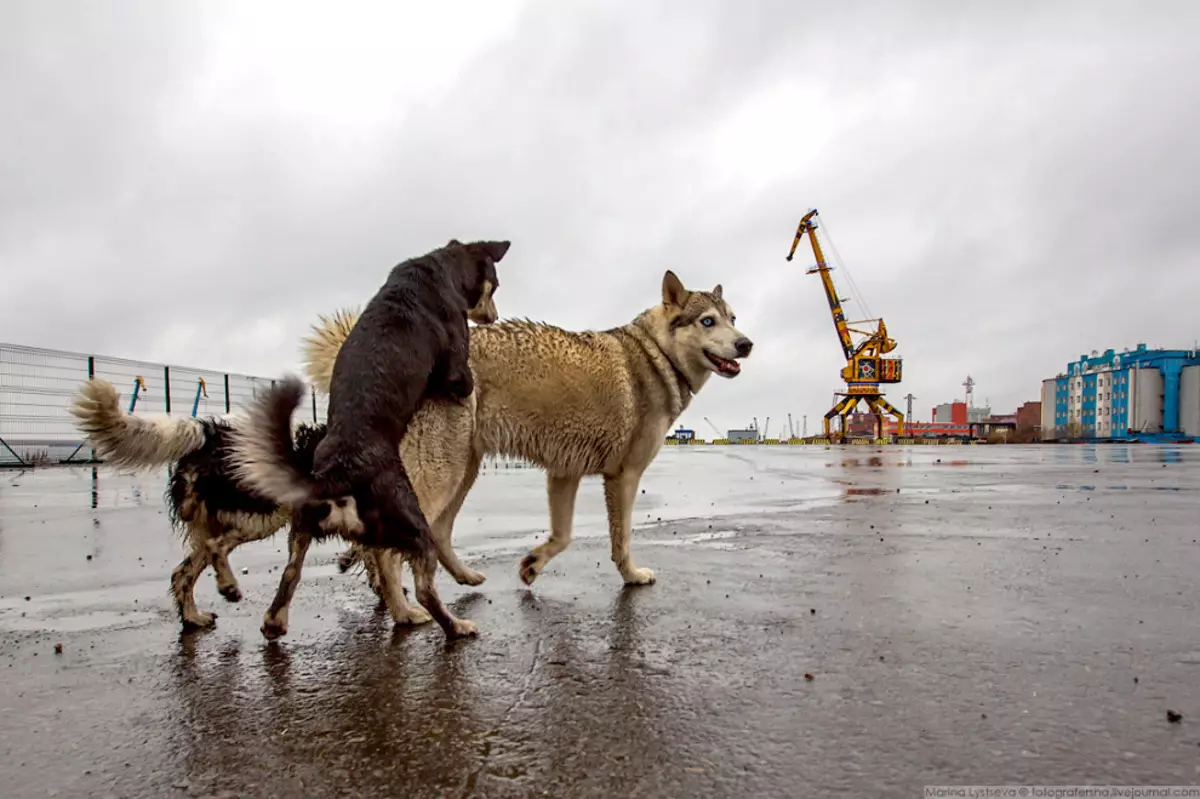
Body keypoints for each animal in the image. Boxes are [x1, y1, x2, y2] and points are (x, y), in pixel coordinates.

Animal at [229, 237, 506, 643]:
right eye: (494, 285)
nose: (494, 317)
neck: (435, 268)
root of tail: (339, 474)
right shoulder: (456, 368)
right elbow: (463, 378)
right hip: (414, 525)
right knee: (421, 586)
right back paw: (447, 624)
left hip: (302, 528)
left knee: (291, 573)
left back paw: (276, 621)